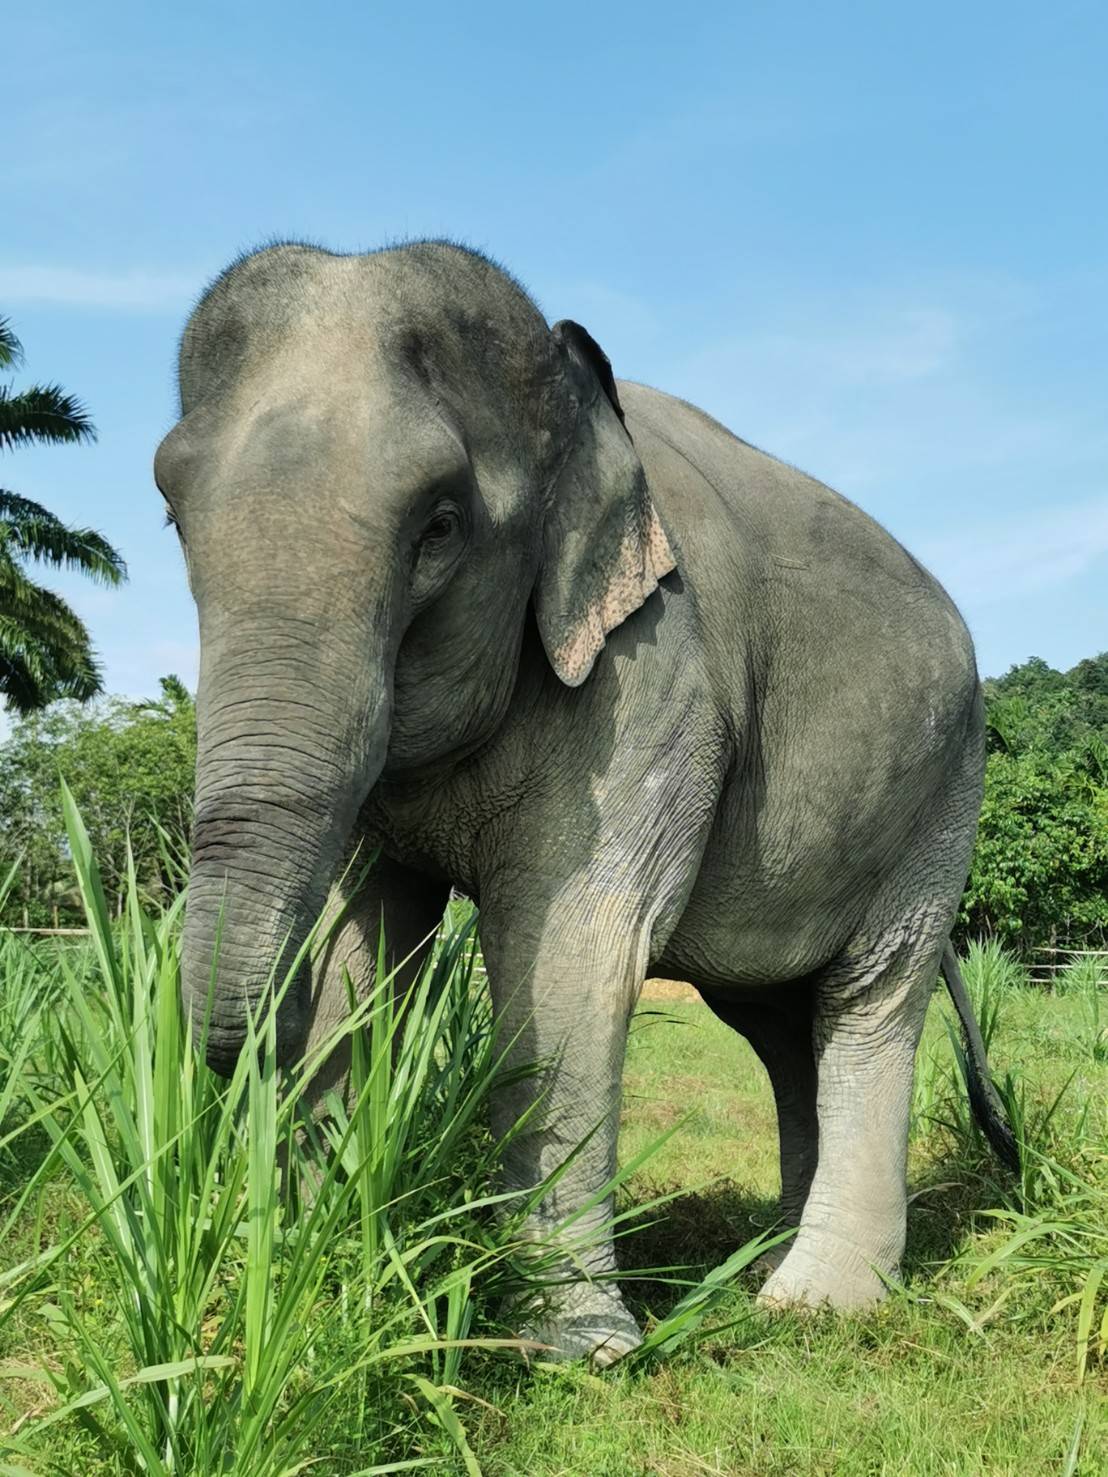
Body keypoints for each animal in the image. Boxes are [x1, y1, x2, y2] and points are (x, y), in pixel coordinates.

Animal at [155, 239, 1016, 1365]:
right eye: (171, 514)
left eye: (440, 525)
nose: (261, 1037)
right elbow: (368, 935)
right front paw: (315, 1263)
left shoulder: (651, 670)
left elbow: (569, 952)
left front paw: (576, 1353)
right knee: (777, 1016)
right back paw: (769, 1263)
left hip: (944, 785)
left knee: (870, 993)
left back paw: (818, 1303)